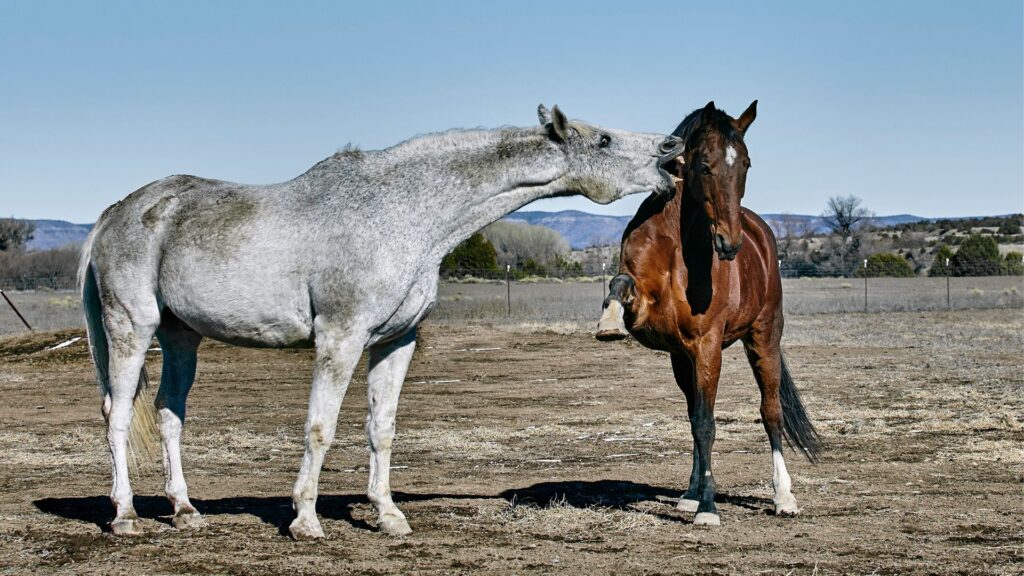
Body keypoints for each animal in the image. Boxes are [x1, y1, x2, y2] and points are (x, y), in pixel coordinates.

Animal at [79, 103, 685, 539]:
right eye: (603, 140)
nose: (671, 148)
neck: (403, 213)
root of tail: (114, 214)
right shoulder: (339, 339)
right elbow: (320, 428)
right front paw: (305, 520)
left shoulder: (396, 342)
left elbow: (382, 427)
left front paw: (388, 515)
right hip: (130, 328)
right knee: (117, 414)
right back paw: (126, 516)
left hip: (182, 336)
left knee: (168, 414)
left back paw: (184, 510)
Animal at [596, 101, 821, 526]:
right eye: (704, 165)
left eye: (746, 163)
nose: (728, 244)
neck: (676, 244)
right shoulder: (655, 323)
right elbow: (619, 283)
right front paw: (608, 324)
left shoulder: (708, 345)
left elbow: (707, 423)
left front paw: (709, 510)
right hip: (681, 360)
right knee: (693, 415)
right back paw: (689, 493)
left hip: (763, 338)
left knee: (770, 413)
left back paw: (783, 497)